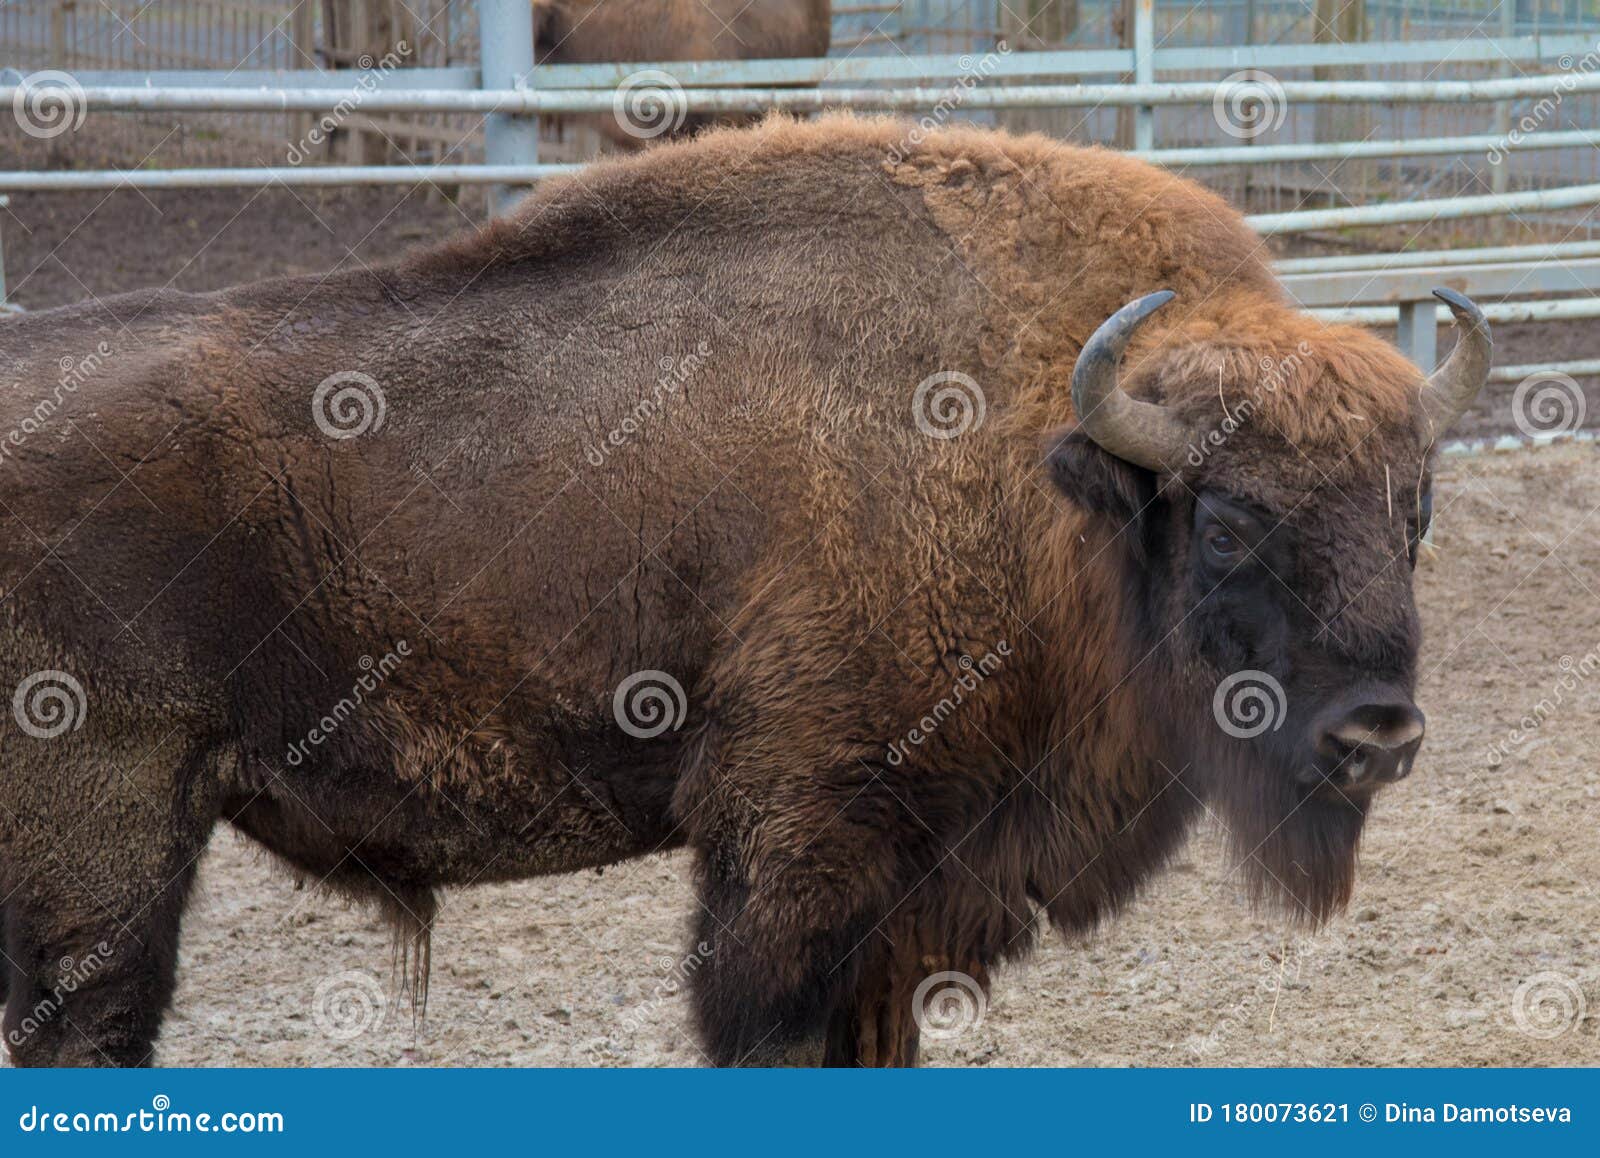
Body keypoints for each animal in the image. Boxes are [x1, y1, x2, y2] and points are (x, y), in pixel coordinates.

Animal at [0, 114, 1487, 1067]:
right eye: (1227, 518)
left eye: (1411, 509)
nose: (1378, 733)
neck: (1047, 467)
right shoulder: (798, 853)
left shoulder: (913, 906)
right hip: (109, 843)